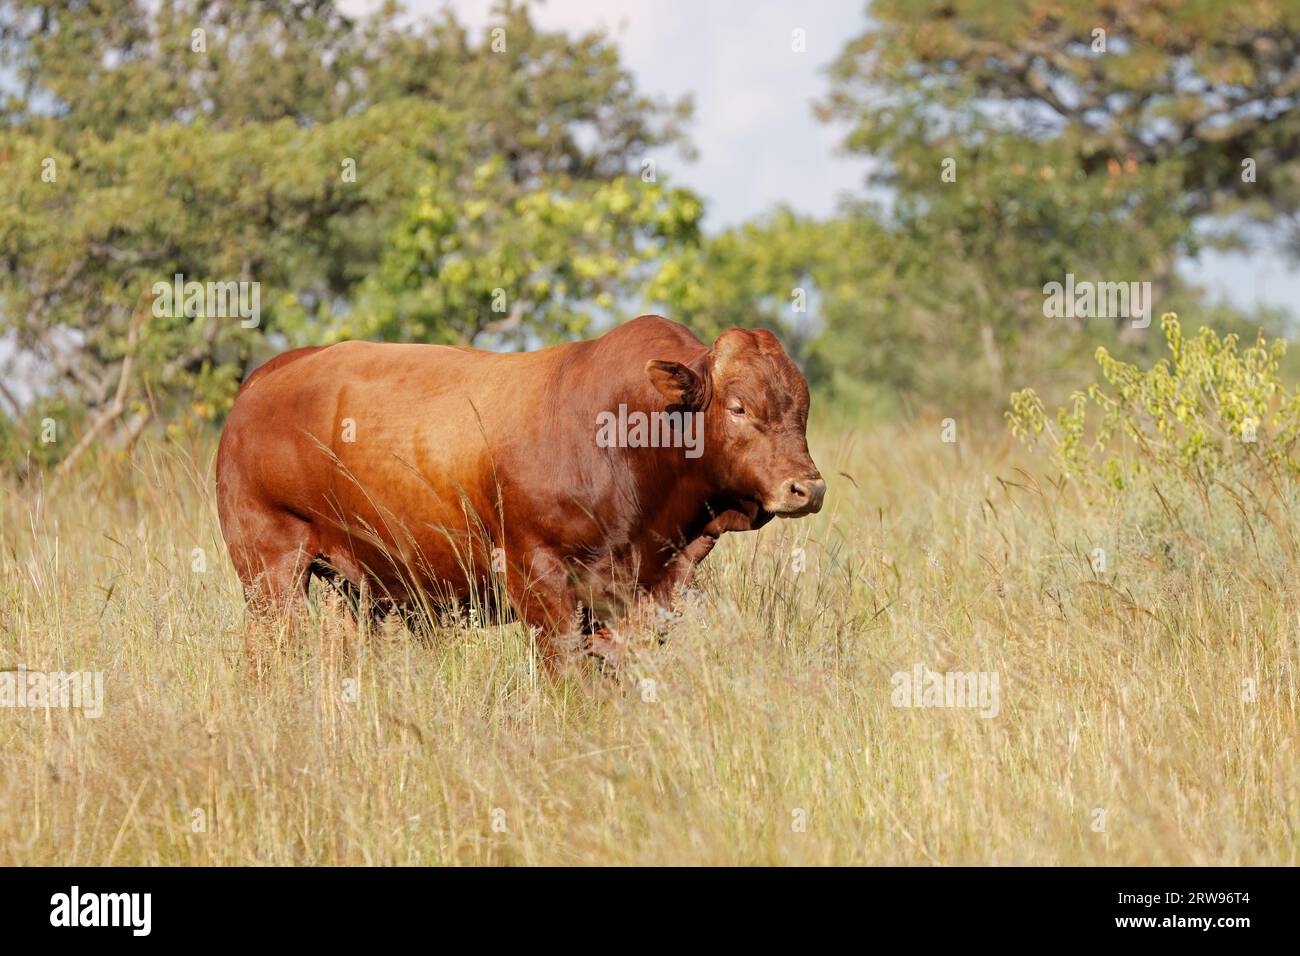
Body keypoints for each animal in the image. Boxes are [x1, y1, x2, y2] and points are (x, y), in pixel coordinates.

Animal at [215, 315, 825, 671]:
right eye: (738, 406)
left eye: (803, 404)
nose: (807, 487)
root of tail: (267, 375)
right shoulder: (538, 575)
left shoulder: (650, 588)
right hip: (269, 571)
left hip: (357, 586)